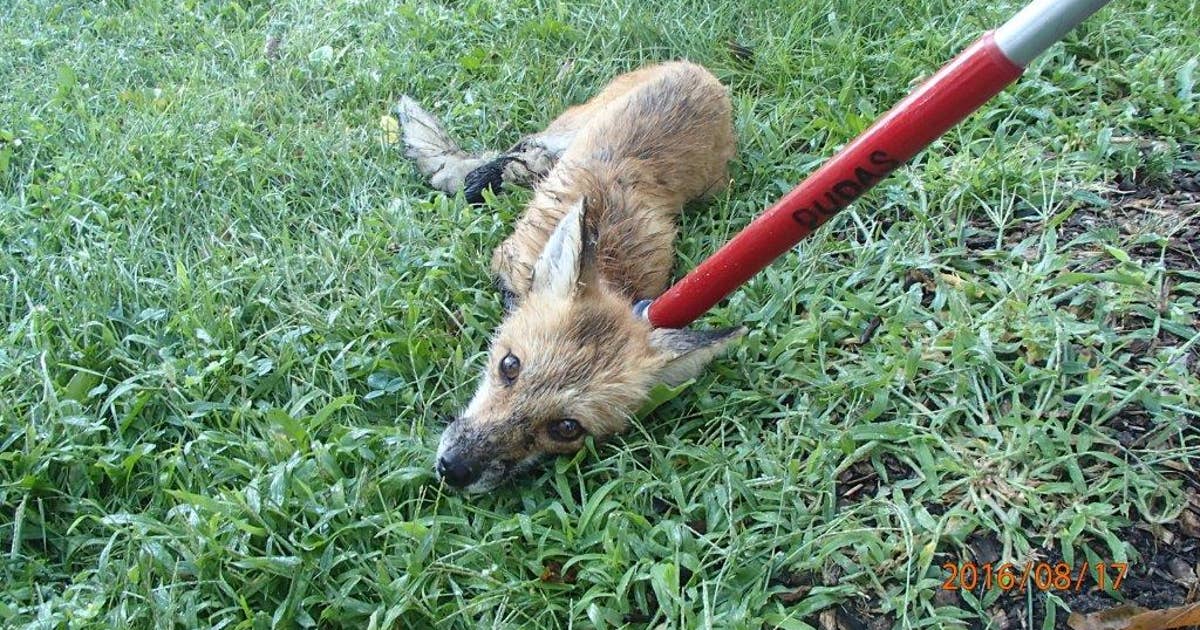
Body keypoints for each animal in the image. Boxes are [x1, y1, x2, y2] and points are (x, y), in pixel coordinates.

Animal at [394, 61, 743, 493]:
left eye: (566, 428)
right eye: (509, 366)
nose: (453, 468)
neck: (611, 257)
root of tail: (698, 71)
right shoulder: (506, 260)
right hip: (562, 134)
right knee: (514, 158)